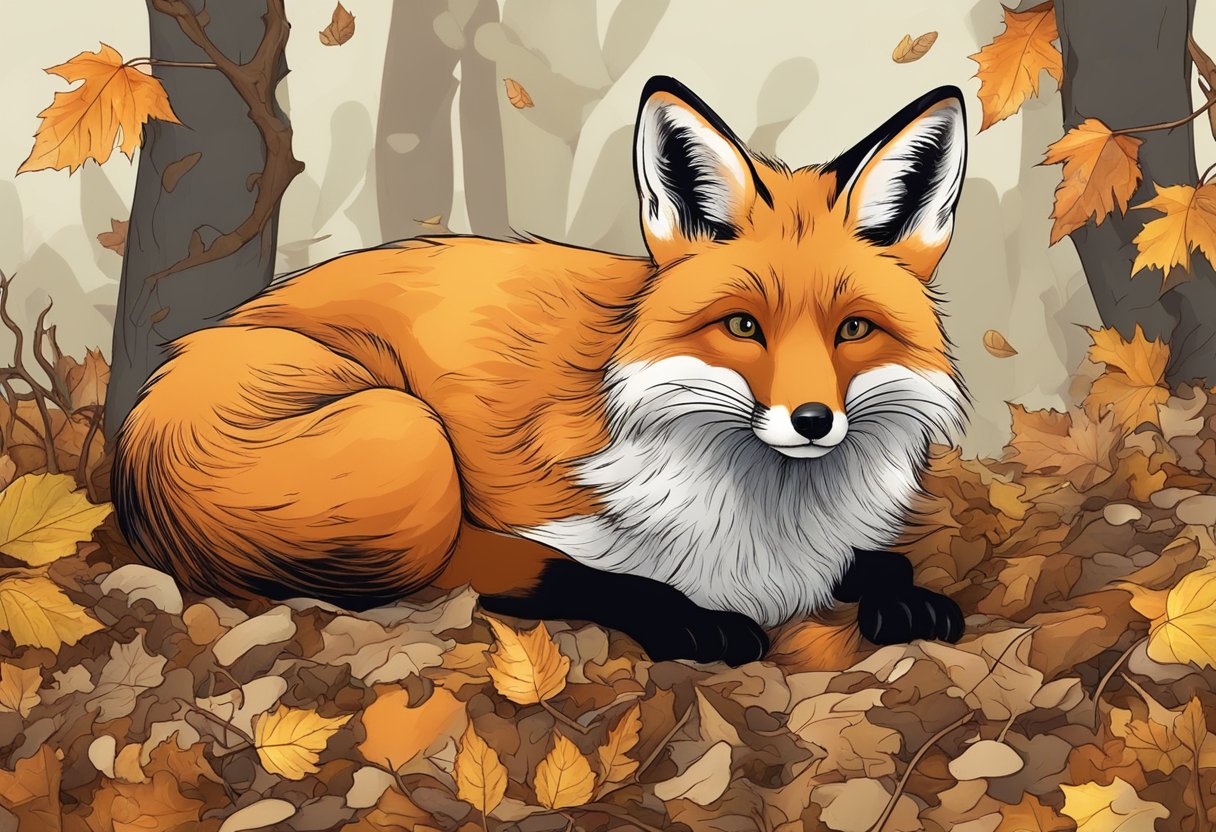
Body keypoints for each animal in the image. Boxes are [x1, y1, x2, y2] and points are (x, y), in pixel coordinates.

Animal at [113, 76, 970, 667]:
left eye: (853, 329)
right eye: (742, 327)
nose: (812, 422)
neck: (766, 526)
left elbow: (882, 559)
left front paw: (907, 598)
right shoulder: (489, 545)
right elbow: (594, 578)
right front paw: (696, 621)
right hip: (411, 435)